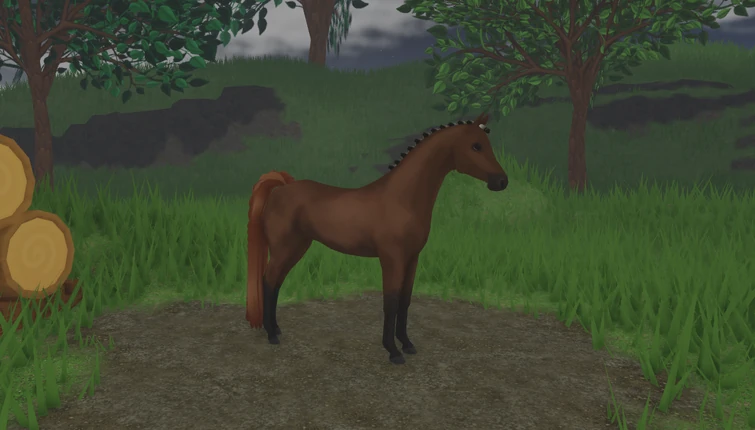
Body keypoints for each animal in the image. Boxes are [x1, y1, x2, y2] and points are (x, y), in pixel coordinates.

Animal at [246, 112, 508, 365]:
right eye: (476, 146)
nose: (502, 181)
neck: (402, 199)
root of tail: (282, 187)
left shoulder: (412, 258)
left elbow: (405, 300)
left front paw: (407, 344)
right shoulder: (392, 259)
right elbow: (390, 302)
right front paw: (393, 351)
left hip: (297, 247)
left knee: (276, 282)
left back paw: (277, 329)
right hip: (283, 248)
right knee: (268, 281)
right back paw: (271, 334)